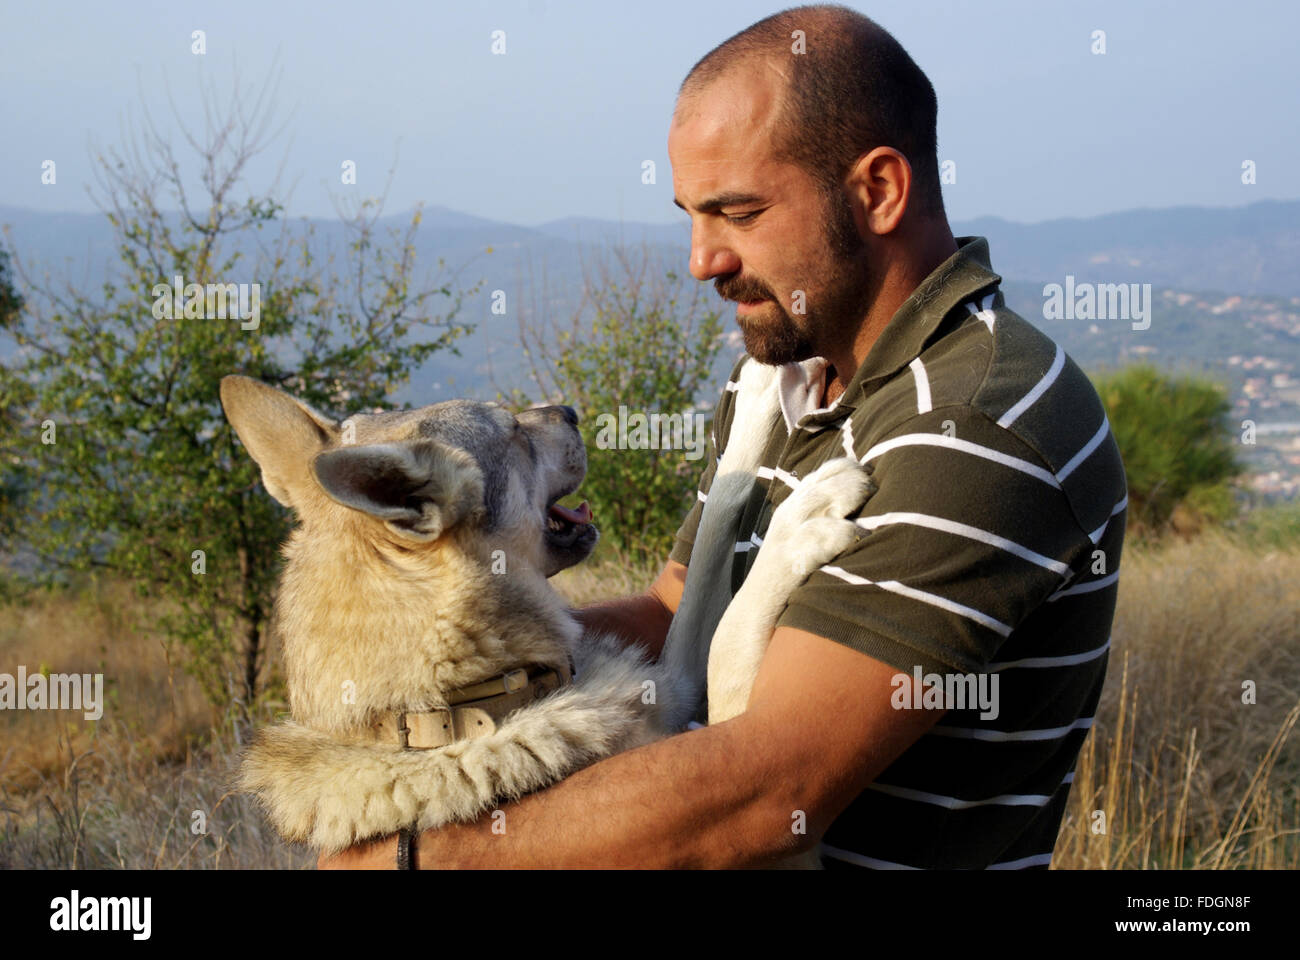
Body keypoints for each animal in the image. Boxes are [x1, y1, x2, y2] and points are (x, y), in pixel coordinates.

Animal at [220, 360, 871, 863]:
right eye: (511, 430)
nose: (570, 410)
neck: (463, 703)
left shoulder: (677, 683)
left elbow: (720, 516)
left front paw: (763, 386)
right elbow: (729, 639)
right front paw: (803, 517)